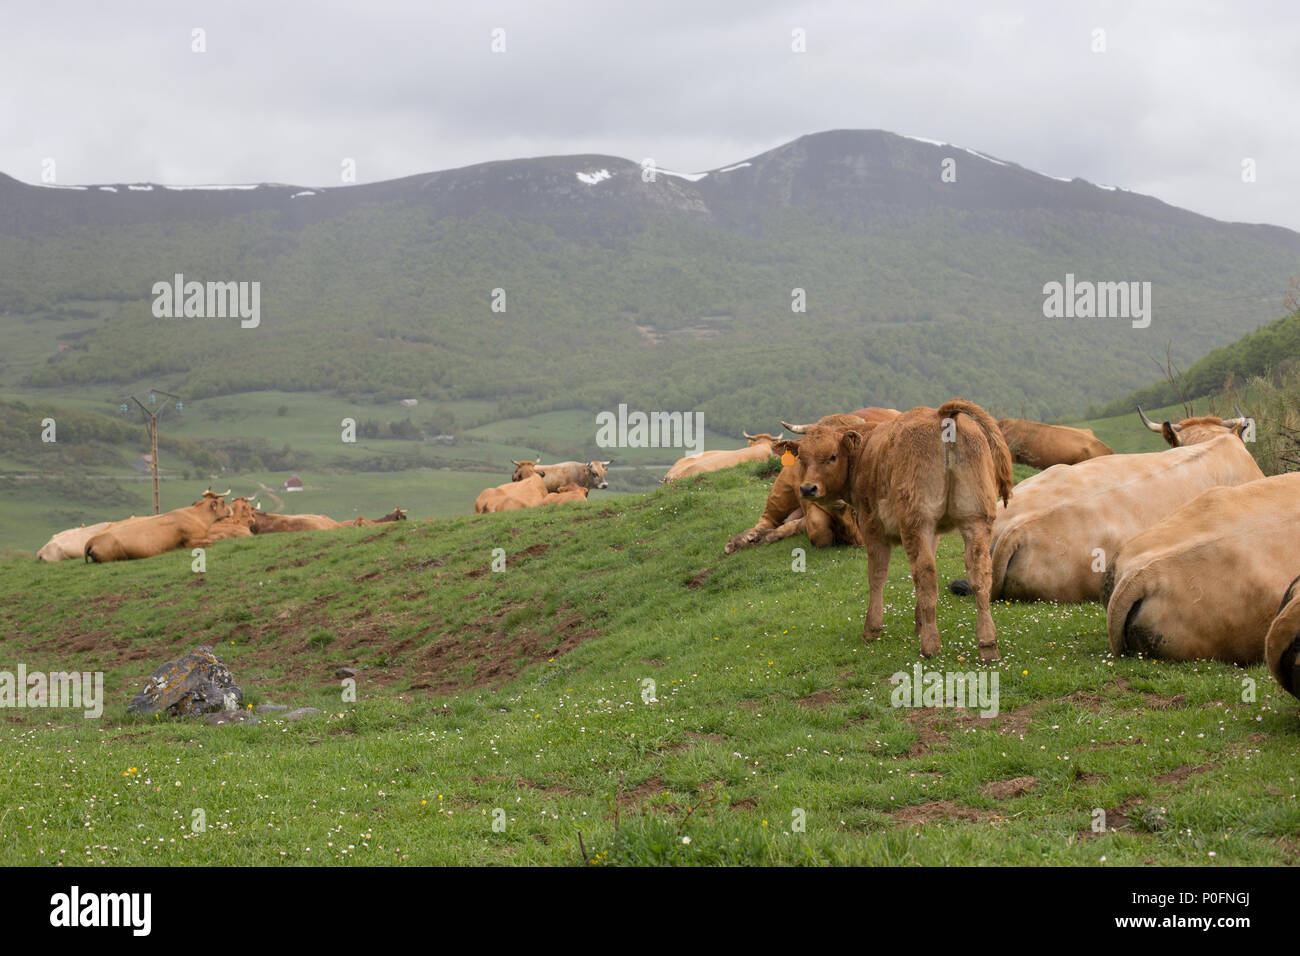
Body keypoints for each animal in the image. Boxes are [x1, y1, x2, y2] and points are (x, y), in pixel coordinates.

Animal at [84, 491, 233, 563]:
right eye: (223, 502)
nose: (231, 510)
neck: (196, 516)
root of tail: (91, 541)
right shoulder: (192, 540)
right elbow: (210, 542)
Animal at [724, 409, 901, 554]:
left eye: (835, 456)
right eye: (803, 457)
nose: (808, 489)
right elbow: (818, 529)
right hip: (781, 491)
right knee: (766, 520)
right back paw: (742, 540)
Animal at [774, 400, 1012, 661]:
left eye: (832, 457)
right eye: (802, 457)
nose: (807, 488)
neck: (865, 452)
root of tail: (942, 414)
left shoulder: (872, 527)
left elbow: (877, 575)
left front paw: (872, 628)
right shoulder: (934, 531)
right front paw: (920, 624)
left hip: (916, 522)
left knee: (926, 575)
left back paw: (930, 646)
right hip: (975, 520)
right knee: (979, 575)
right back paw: (987, 644)